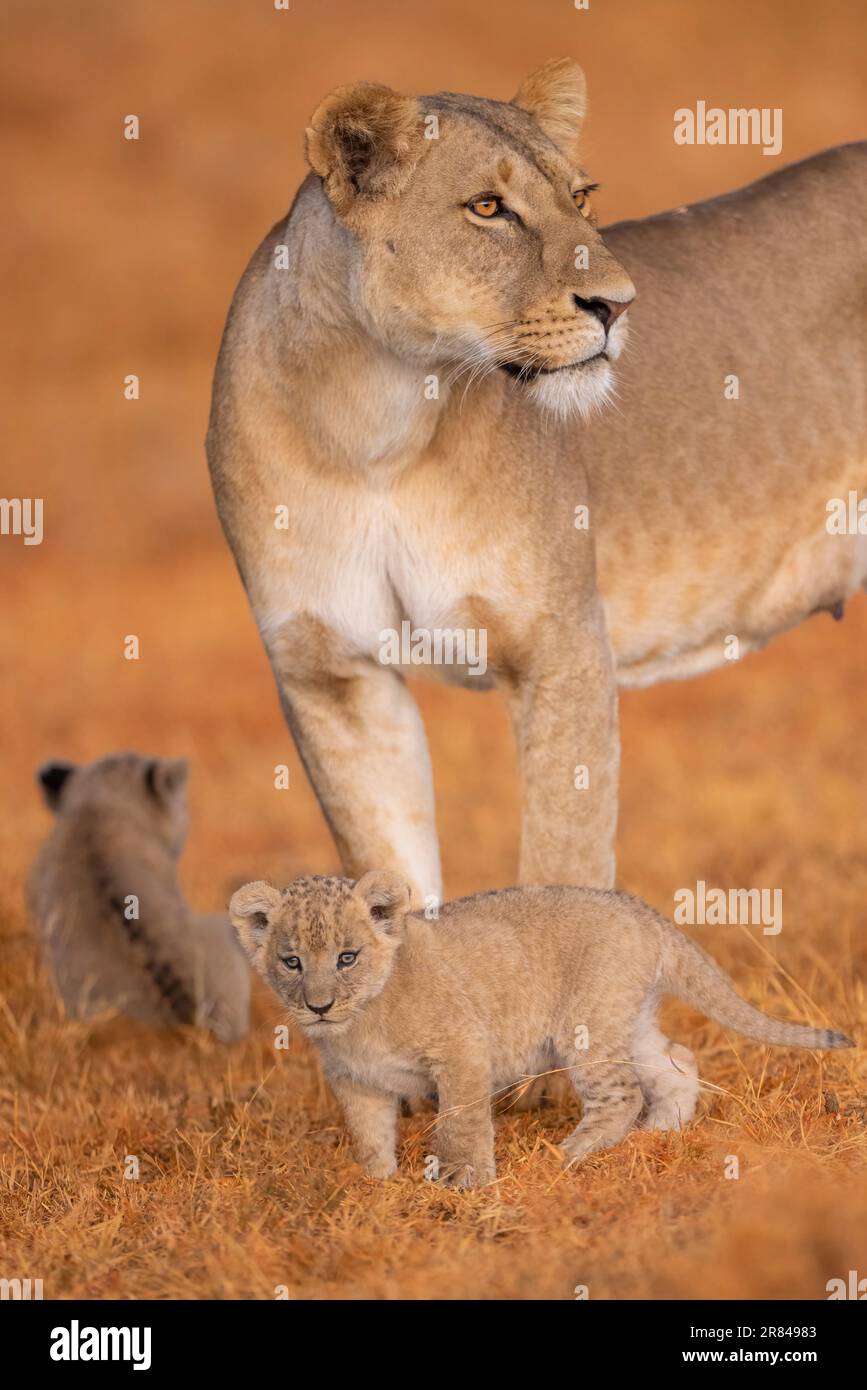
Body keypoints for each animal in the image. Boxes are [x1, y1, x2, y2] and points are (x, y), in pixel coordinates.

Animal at [207, 59, 867, 903]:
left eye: (580, 197)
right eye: (488, 208)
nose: (617, 305)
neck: (377, 424)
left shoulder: (563, 648)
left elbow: (563, 870)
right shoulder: (330, 673)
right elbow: (391, 874)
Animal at [230, 870, 853, 1187]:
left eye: (347, 957)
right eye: (291, 962)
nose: (318, 1007)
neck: (359, 1024)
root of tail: (642, 912)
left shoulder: (463, 1050)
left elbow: (460, 1125)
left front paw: (463, 1186)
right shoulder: (356, 1083)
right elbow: (369, 1138)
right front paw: (376, 1190)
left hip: (585, 1026)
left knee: (621, 1093)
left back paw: (569, 1156)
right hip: (625, 1018)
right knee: (678, 1061)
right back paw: (656, 1138)